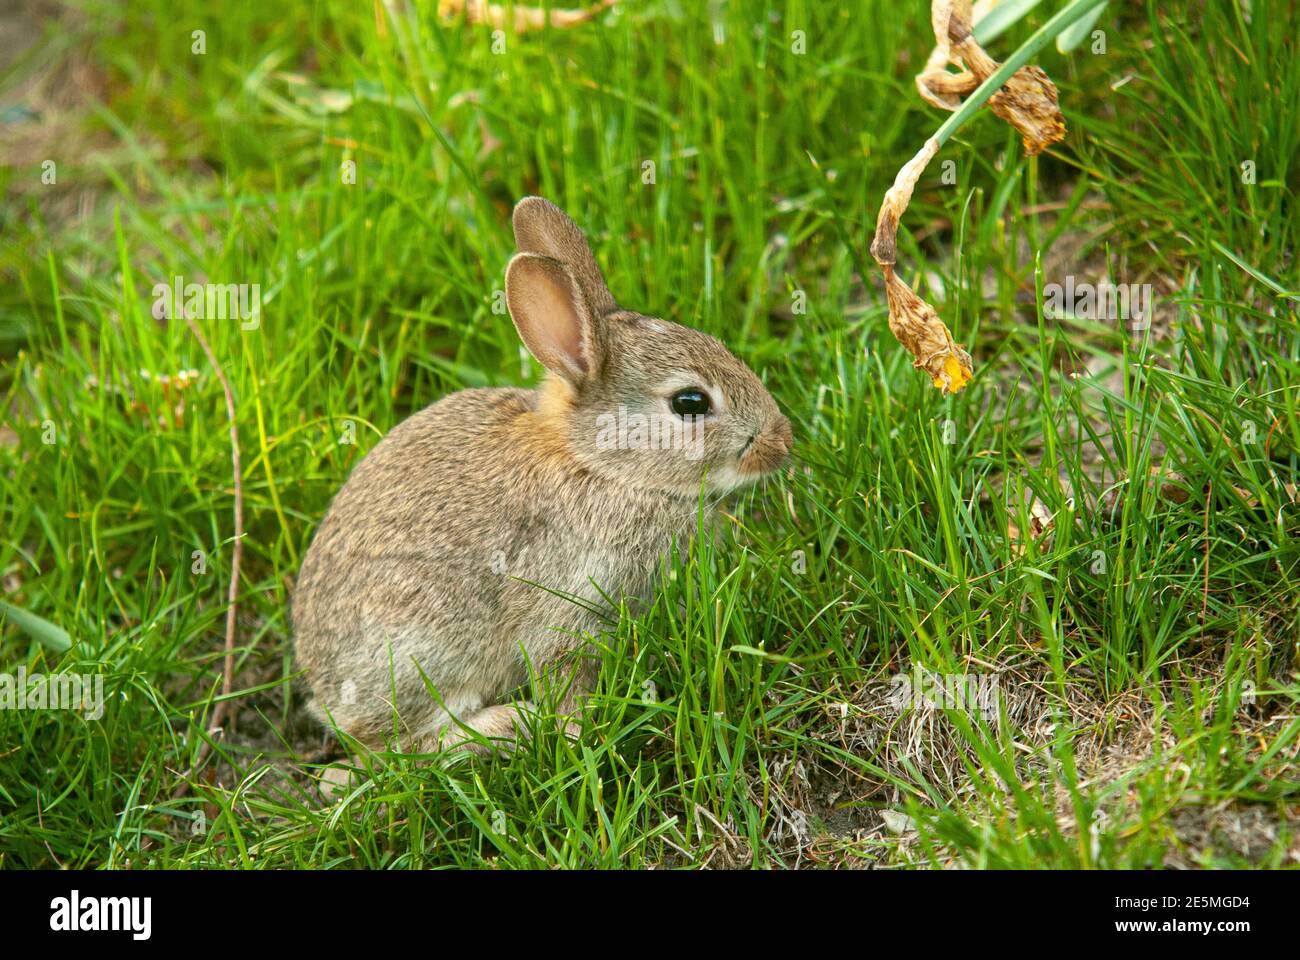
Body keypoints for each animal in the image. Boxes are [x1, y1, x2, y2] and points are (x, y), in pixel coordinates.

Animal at [292, 197, 792, 756]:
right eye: (690, 403)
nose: (780, 442)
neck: (599, 464)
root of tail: (327, 697)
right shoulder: (568, 605)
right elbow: (563, 671)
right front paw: (579, 731)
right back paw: (508, 724)